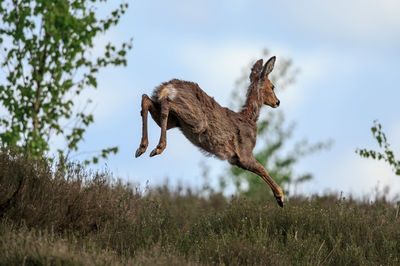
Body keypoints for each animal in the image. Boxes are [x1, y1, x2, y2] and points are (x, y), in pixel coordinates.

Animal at [135, 56, 284, 207]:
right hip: (195, 119)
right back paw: (158, 148)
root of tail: (167, 87)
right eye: (272, 86)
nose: (277, 102)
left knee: (146, 99)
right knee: (166, 103)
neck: (249, 118)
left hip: (173, 121)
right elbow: (263, 169)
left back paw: (142, 148)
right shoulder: (244, 153)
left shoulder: (235, 159)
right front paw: (280, 198)